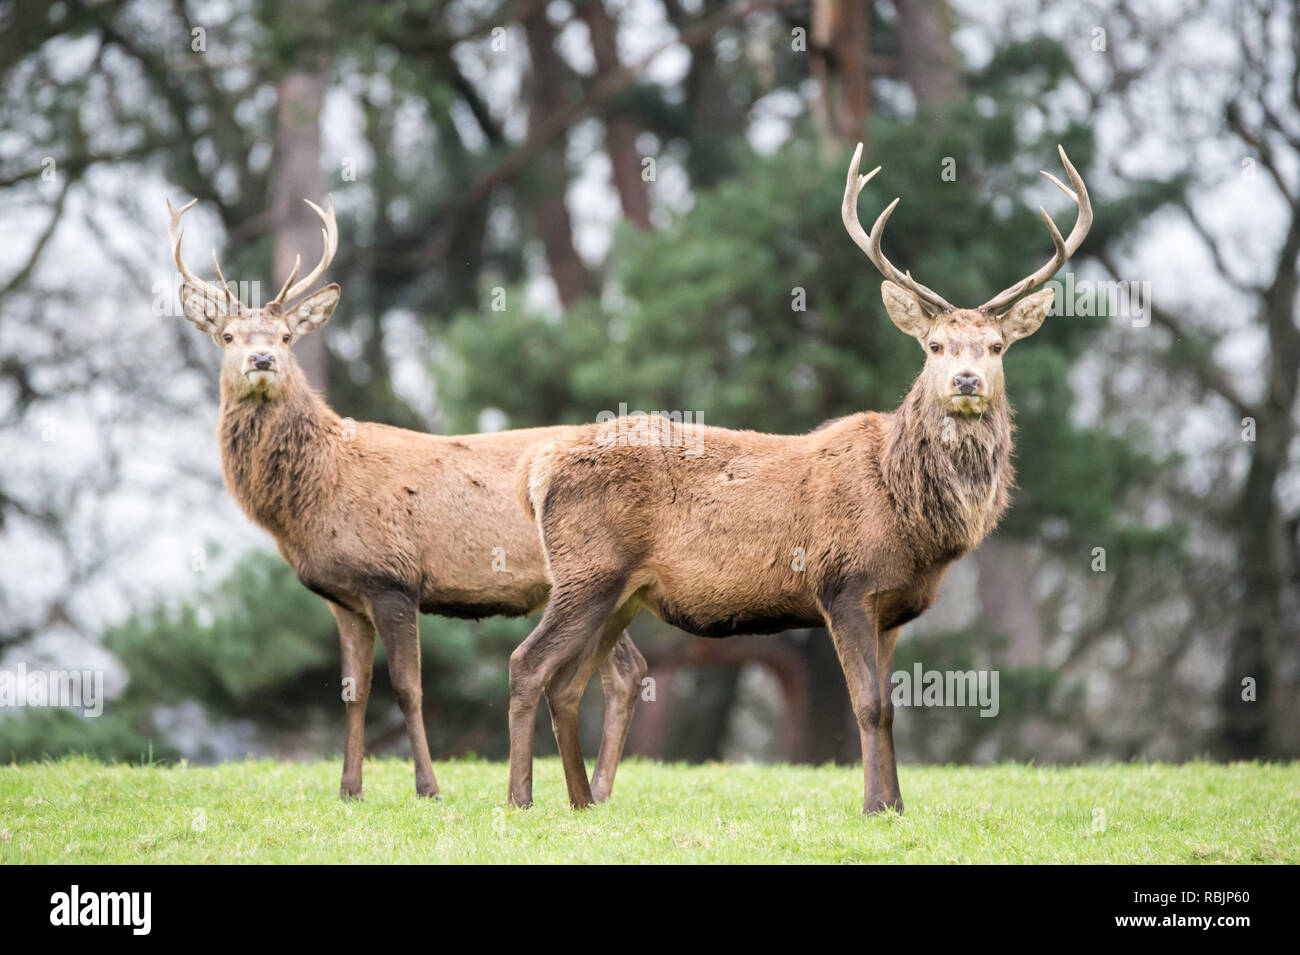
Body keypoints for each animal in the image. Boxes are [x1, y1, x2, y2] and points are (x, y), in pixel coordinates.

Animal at [166, 196, 648, 802]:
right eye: (228, 336)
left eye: (285, 337)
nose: (261, 361)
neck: (317, 491)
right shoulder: (344, 595)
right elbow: (353, 690)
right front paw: (349, 788)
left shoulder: (391, 578)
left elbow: (406, 688)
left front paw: (428, 787)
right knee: (627, 669)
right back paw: (600, 790)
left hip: (591, 573)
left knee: (625, 671)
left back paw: (597, 790)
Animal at [506, 144, 1091, 812]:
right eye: (935, 346)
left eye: (996, 346)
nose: (965, 381)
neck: (908, 513)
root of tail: (538, 470)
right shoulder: (843, 586)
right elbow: (868, 705)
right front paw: (872, 806)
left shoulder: (893, 607)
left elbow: (892, 707)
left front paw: (896, 806)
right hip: (587, 571)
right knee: (527, 664)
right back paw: (521, 800)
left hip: (620, 592)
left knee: (568, 683)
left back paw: (581, 803)